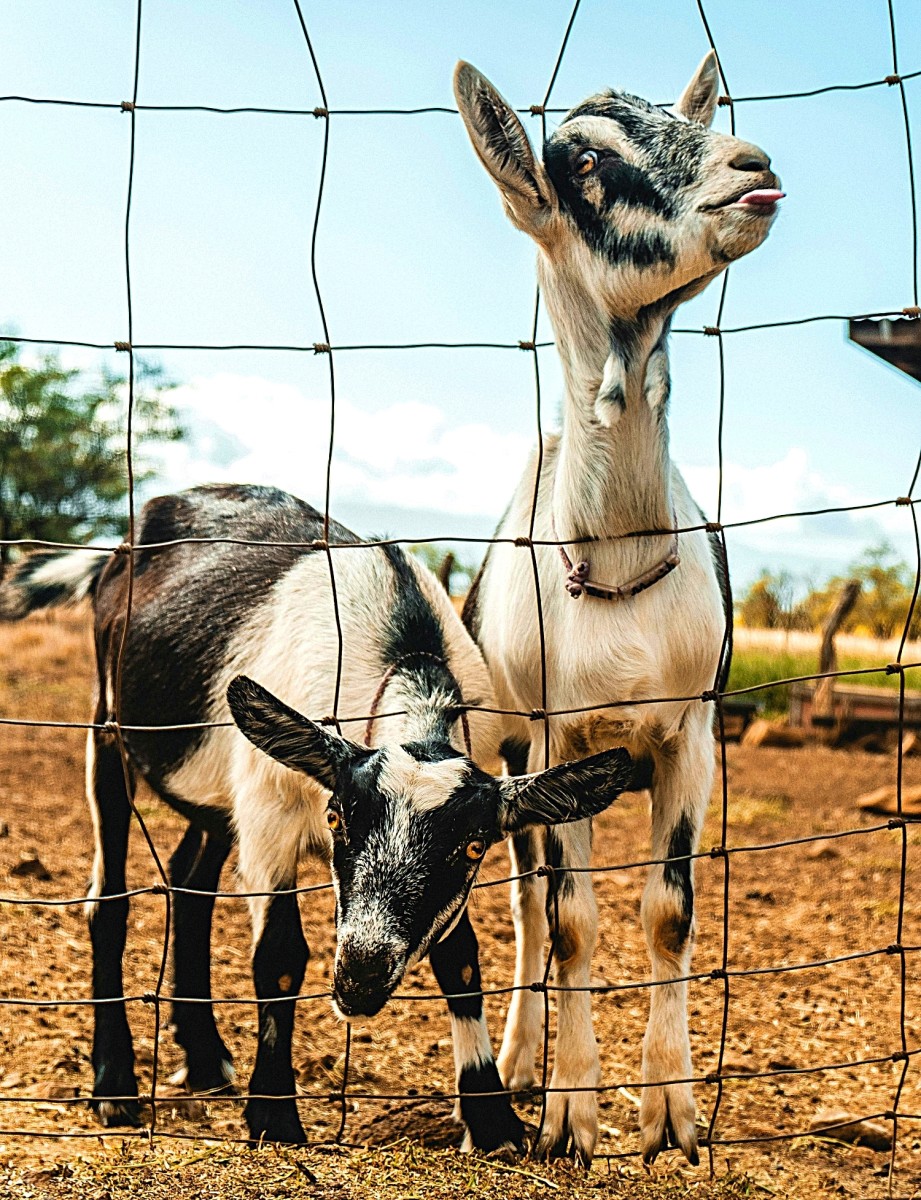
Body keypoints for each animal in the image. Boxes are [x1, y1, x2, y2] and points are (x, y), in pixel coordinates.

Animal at [1, 482, 639, 1150]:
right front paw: (275, 1115)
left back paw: (204, 1059)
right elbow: (280, 957)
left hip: (216, 793)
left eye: (471, 848)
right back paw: (115, 1084)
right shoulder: (270, 820)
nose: (361, 974)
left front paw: (492, 1117)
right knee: (109, 899)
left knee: (191, 885)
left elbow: (458, 954)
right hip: (109, 728)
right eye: (338, 819)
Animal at [454, 55, 782, 1164]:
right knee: (524, 907)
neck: (622, 563)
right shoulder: (561, 744)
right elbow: (570, 921)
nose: (751, 167)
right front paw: (568, 1115)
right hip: (506, 749)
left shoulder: (690, 734)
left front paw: (670, 1113)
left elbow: (667, 913)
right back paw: (519, 1061)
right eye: (586, 160)